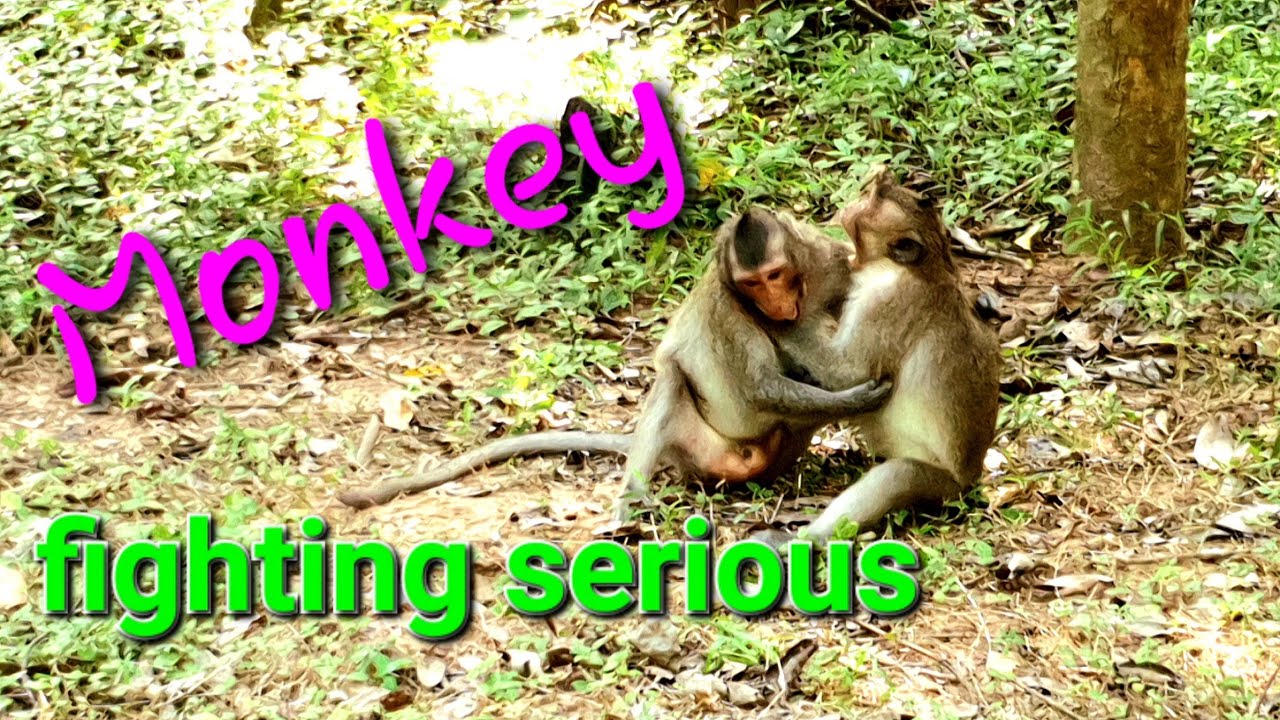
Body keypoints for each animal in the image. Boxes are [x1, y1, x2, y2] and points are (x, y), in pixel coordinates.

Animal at [337, 209, 892, 512]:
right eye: (753, 284)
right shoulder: (727, 308)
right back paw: (631, 502)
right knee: (672, 382)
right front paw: (857, 397)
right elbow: (757, 386)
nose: (773, 303)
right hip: (698, 451)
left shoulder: (825, 261)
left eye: (775, 275)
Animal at [754, 168, 1001, 547]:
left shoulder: (887, 303)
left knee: (899, 476)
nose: (861, 189)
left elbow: (850, 372)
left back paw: (802, 539)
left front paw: (775, 316)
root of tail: (969, 480)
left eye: (874, 198)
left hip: (939, 485)